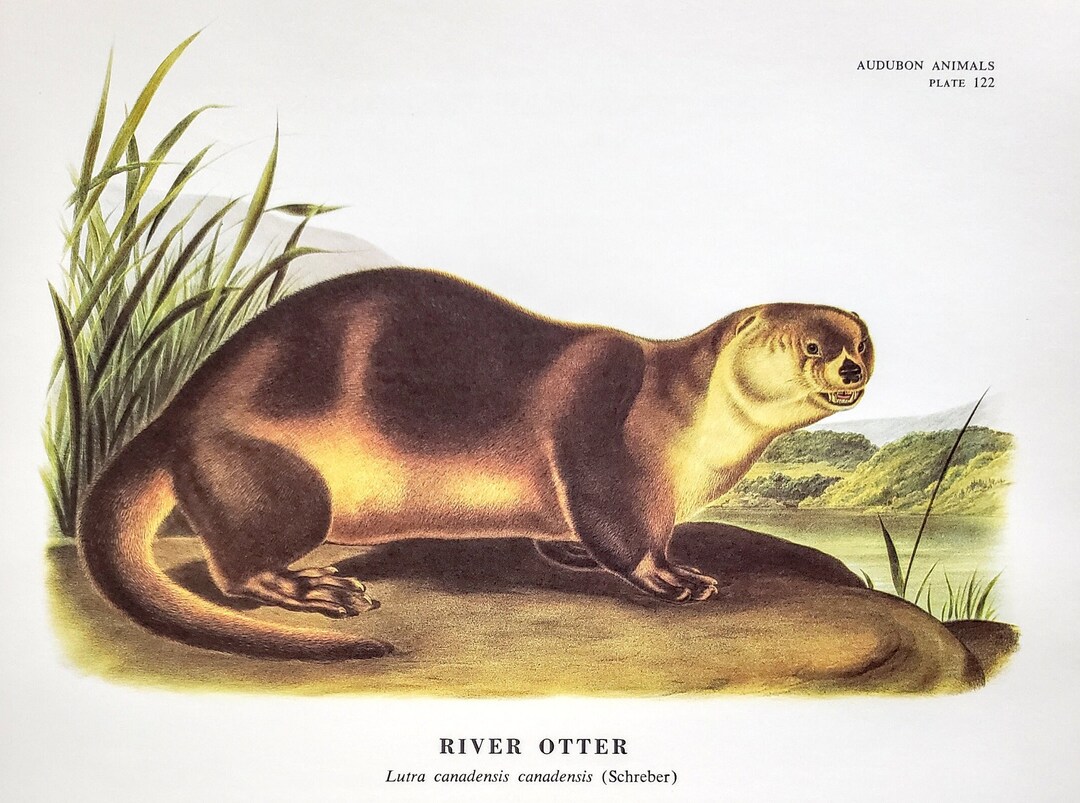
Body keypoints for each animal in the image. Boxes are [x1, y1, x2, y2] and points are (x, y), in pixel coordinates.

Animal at [78, 268, 873, 660]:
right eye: (809, 344)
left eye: (862, 341)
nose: (851, 368)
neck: (682, 416)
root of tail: (174, 415)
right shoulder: (601, 421)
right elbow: (618, 527)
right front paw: (673, 576)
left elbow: (572, 533)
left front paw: (574, 555)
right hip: (278, 478)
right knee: (236, 567)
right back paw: (316, 587)